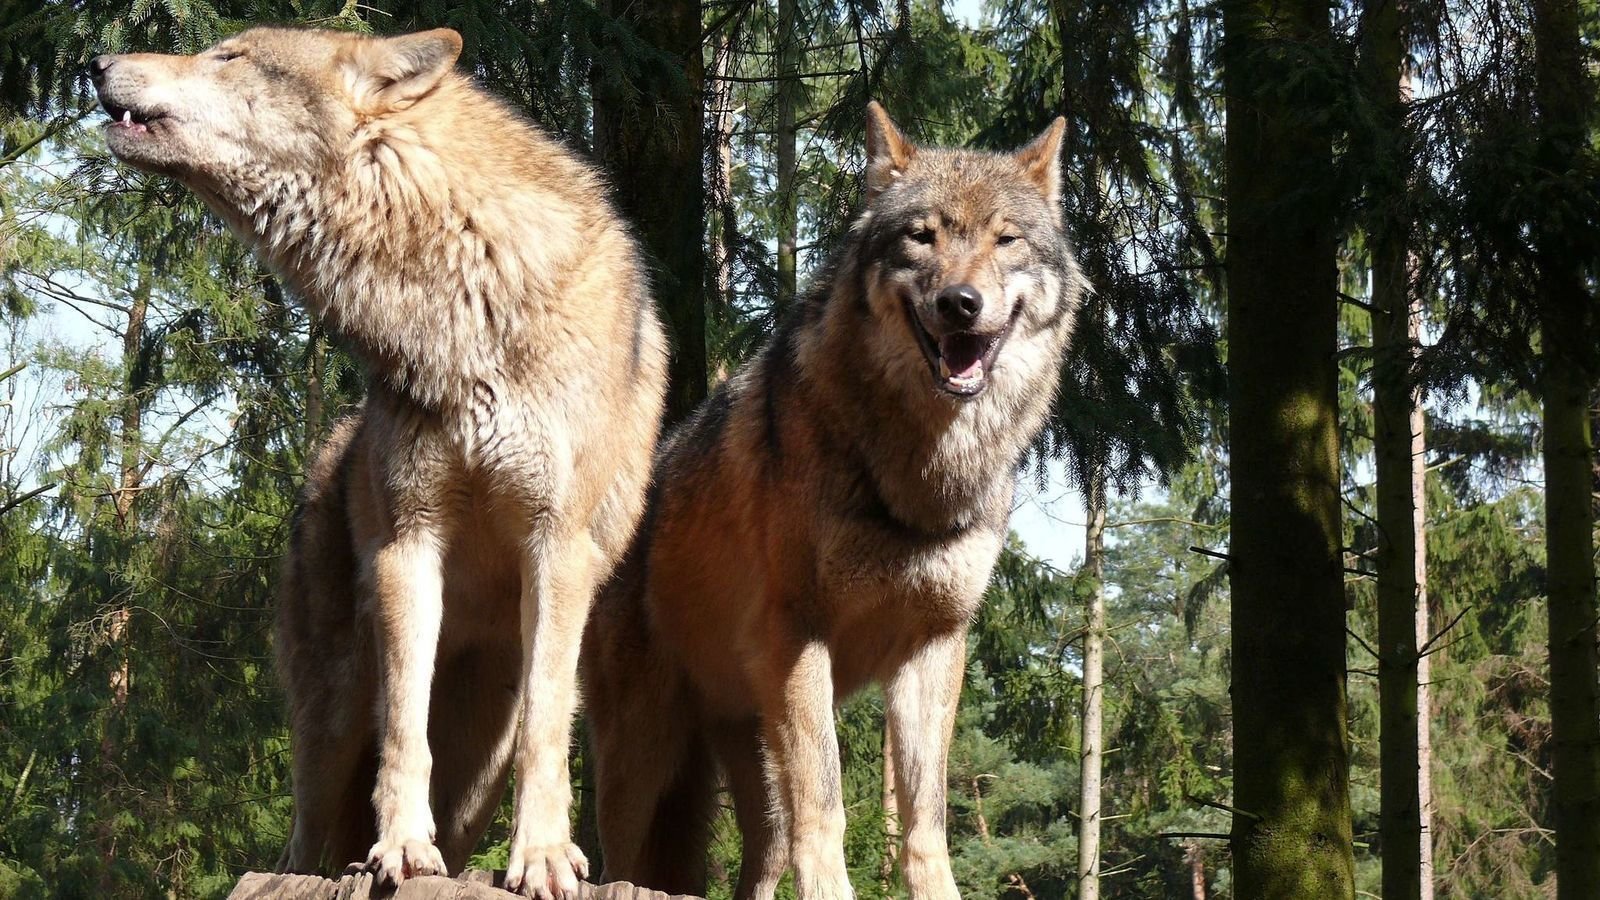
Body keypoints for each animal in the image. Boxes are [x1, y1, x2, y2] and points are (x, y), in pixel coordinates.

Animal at [91, 27, 667, 898]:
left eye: (231, 57)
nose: (96, 64)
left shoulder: (557, 547)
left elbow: (546, 725)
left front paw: (542, 855)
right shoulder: (408, 543)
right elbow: (404, 724)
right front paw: (398, 846)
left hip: (476, 774)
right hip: (329, 721)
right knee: (308, 836)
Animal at [582, 103, 1084, 900]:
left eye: (1005, 240)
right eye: (922, 236)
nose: (960, 303)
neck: (917, 472)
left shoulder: (934, 645)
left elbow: (924, 817)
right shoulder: (800, 634)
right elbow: (828, 801)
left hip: (747, 757)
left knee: (760, 861)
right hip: (642, 753)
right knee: (616, 859)